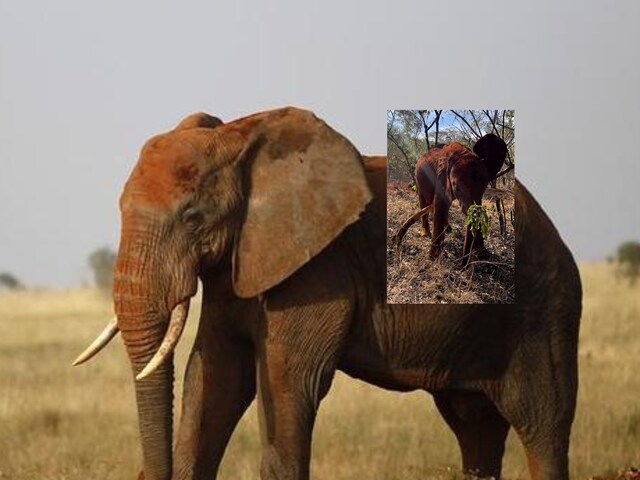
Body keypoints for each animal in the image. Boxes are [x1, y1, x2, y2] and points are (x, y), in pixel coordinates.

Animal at [74, 107, 581, 480]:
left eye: (193, 218)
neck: (240, 139)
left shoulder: (318, 270)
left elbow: (290, 380)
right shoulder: (238, 264)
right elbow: (214, 376)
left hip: (547, 308)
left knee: (543, 426)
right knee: (476, 430)